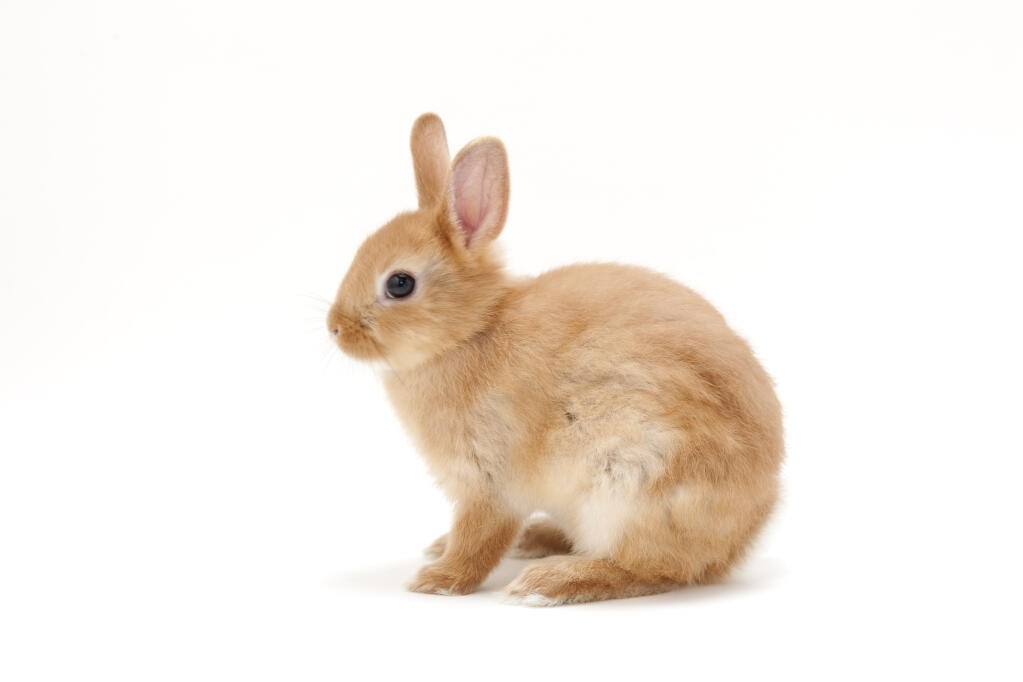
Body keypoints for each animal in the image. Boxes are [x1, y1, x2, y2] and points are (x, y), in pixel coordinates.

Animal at [326, 113, 783, 605]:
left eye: (399, 284)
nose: (335, 328)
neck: (470, 331)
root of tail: (738, 541)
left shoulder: (489, 480)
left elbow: (479, 538)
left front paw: (438, 579)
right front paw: (439, 552)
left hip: (631, 489)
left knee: (651, 569)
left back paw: (551, 581)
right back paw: (536, 540)